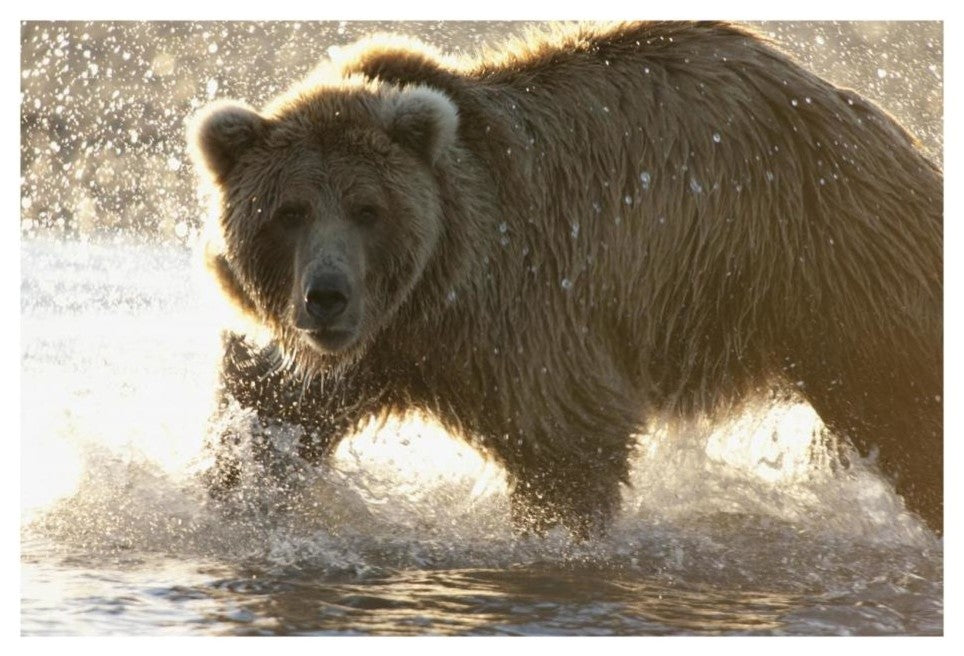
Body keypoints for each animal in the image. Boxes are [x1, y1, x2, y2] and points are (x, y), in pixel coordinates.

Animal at [190, 21, 943, 537]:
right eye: (289, 211)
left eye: (368, 209)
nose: (327, 296)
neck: (431, 298)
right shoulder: (362, 352)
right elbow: (270, 413)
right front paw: (237, 500)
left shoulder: (525, 304)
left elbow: (568, 439)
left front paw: (556, 537)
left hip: (832, 263)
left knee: (906, 409)